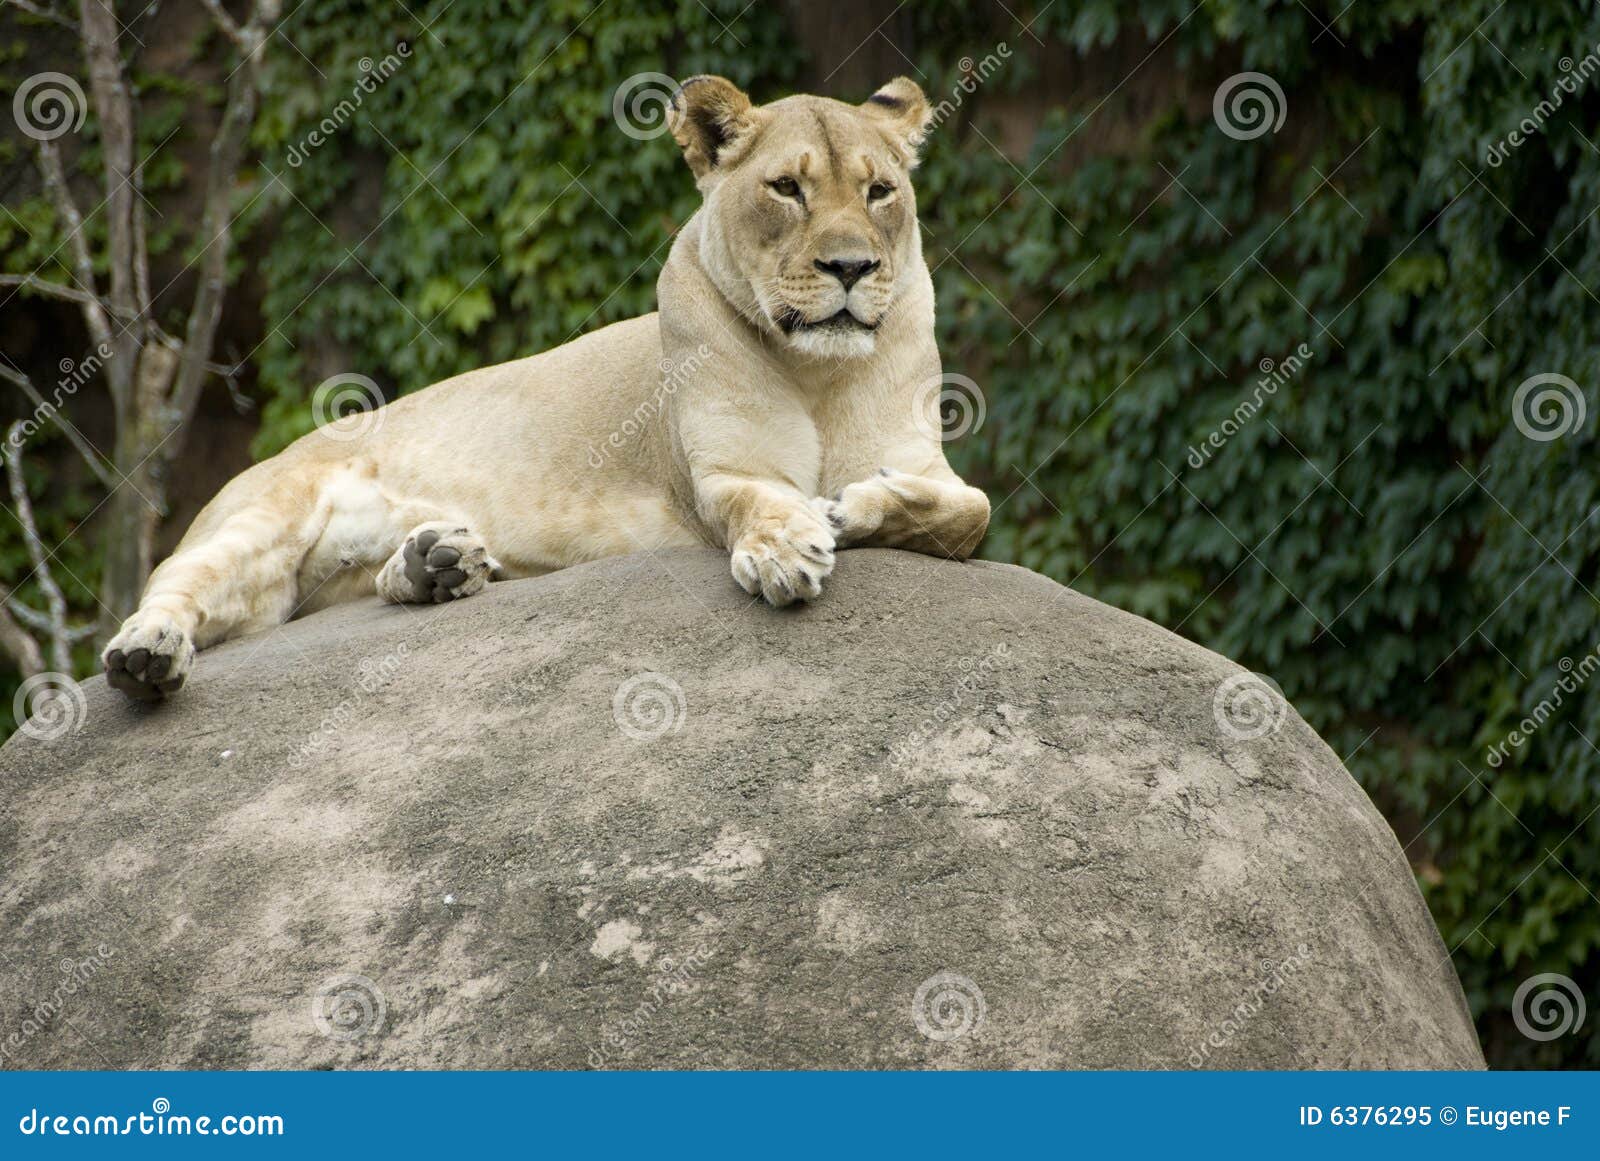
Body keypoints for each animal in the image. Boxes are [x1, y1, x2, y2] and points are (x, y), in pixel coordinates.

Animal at [101, 75, 991, 701]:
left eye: (880, 192)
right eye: (787, 189)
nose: (851, 267)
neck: (818, 369)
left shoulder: (928, 465)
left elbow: (967, 515)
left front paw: (857, 506)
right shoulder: (720, 474)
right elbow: (762, 503)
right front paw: (785, 549)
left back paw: (433, 563)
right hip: (256, 528)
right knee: (171, 590)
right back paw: (148, 656)